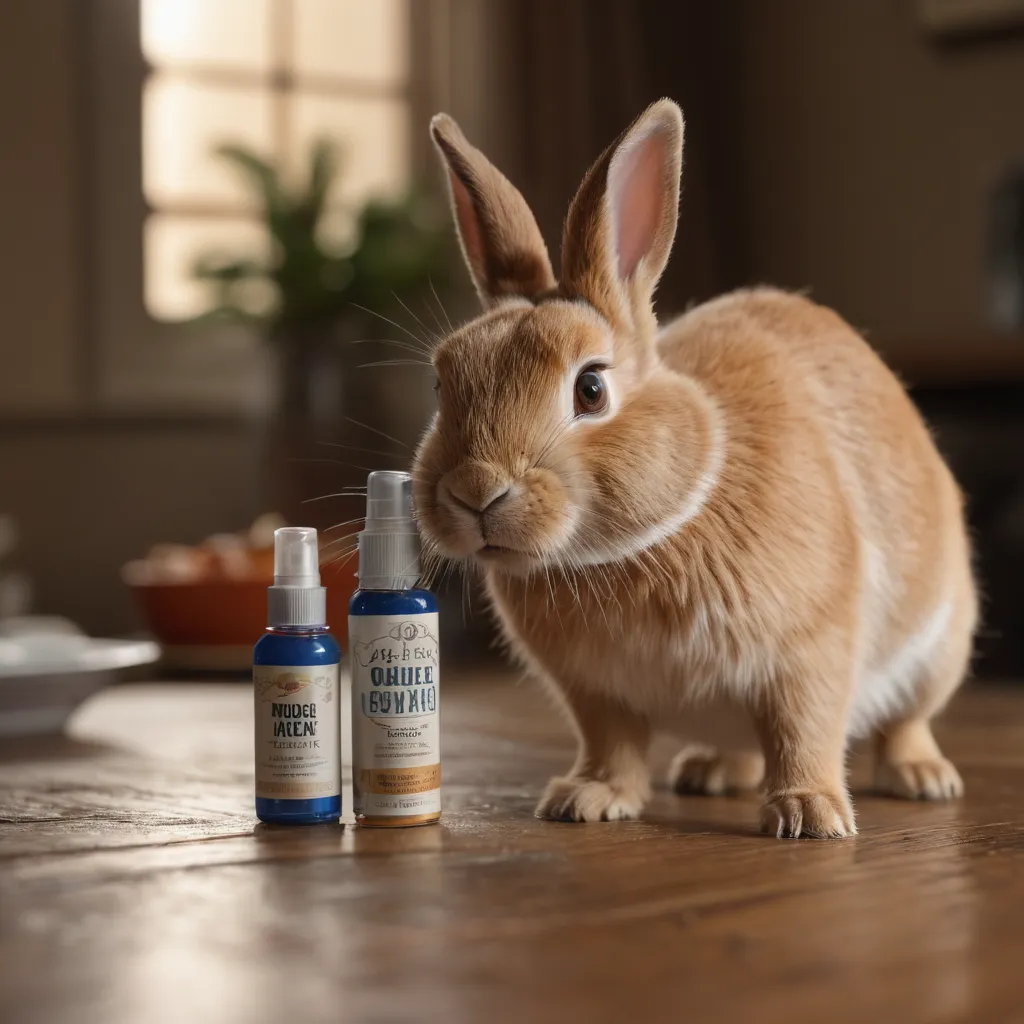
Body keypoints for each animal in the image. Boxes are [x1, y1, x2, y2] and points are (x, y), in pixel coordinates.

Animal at [411, 98, 977, 838]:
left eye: (590, 389)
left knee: (905, 723)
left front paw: (810, 815)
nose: (475, 490)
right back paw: (708, 772)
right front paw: (586, 799)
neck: (638, 545)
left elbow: (805, 727)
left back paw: (924, 779)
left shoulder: (810, 648)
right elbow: (612, 744)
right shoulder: (594, 692)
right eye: (442, 384)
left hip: (938, 649)